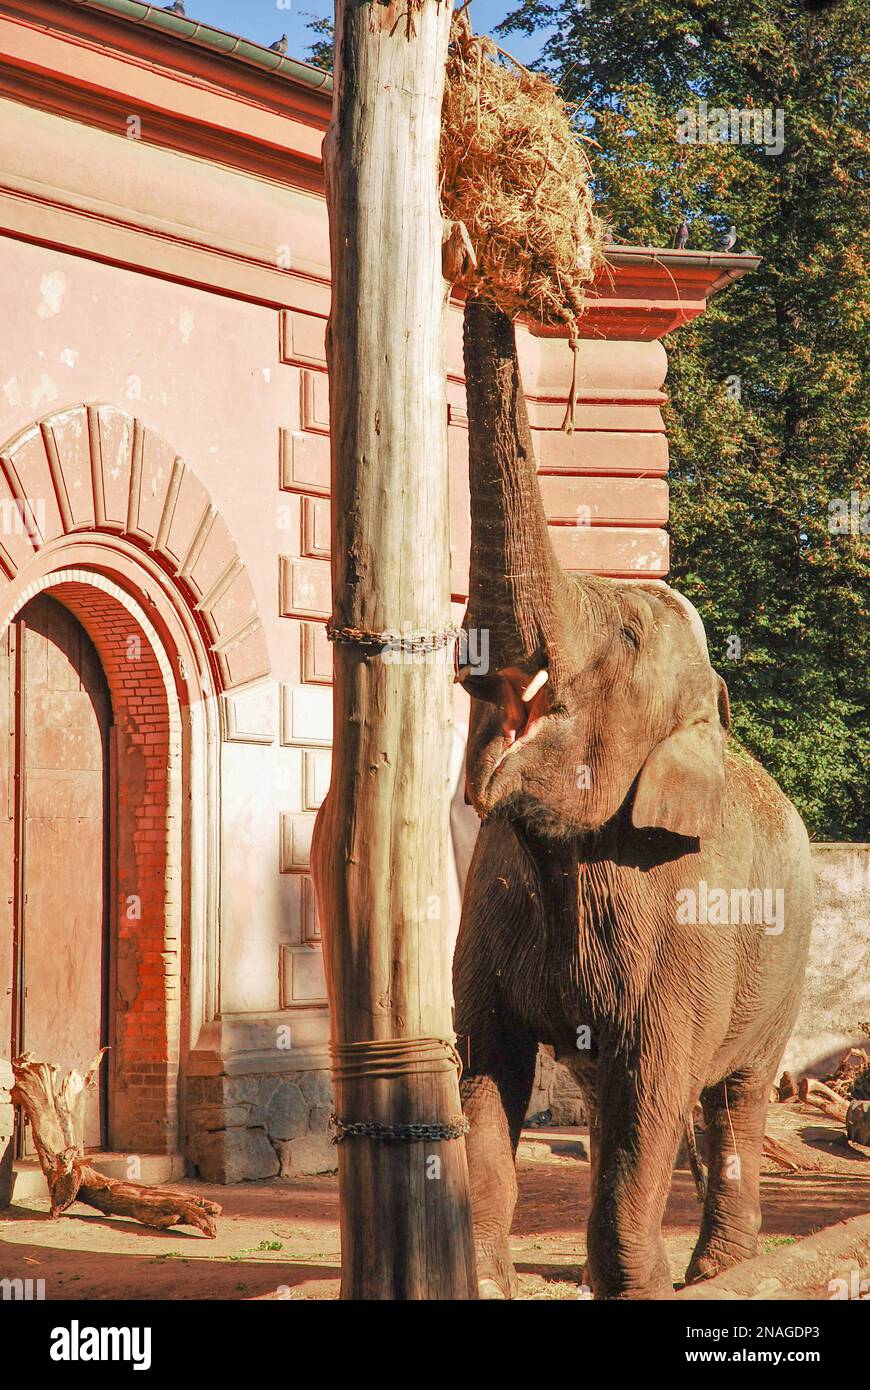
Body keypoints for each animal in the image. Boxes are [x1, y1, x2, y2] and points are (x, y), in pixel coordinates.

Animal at [453, 296, 814, 1301]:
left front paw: (641, 1287)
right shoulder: (488, 898)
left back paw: (716, 1271)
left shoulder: (685, 916)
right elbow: (484, 1070)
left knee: (732, 1099)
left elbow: (652, 1088)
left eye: (620, 634)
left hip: (783, 968)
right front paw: (483, 1281)